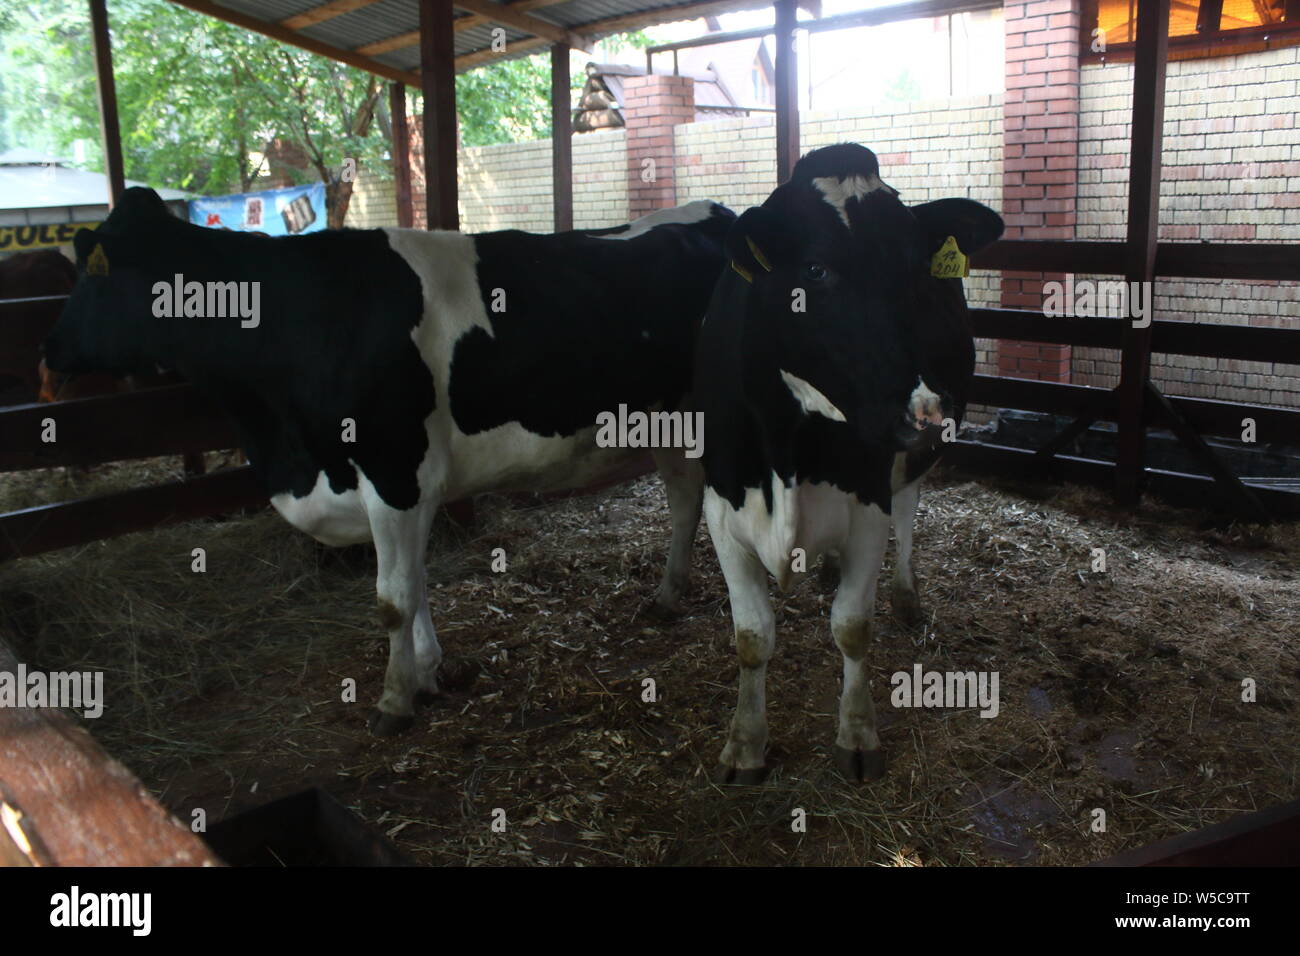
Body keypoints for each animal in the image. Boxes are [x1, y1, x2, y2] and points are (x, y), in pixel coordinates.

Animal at [43, 187, 735, 734]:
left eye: (92, 273)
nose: (48, 359)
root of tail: (718, 213)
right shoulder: (405, 489)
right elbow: (417, 583)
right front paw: (428, 671)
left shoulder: (395, 474)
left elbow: (393, 597)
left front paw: (395, 701)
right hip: (669, 426)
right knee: (683, 500)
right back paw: (668, 594)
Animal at [694, 143, 1003, 784]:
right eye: (815, 270)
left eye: (915, 269)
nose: (925, 410)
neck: (786, 451)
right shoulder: (722, 509)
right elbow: (751, 637)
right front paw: (745, 744)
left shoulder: (869, 503)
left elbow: (853, 627)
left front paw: (857, 735)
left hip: (907, 469)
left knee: (909, 512)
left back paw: (906, 595)